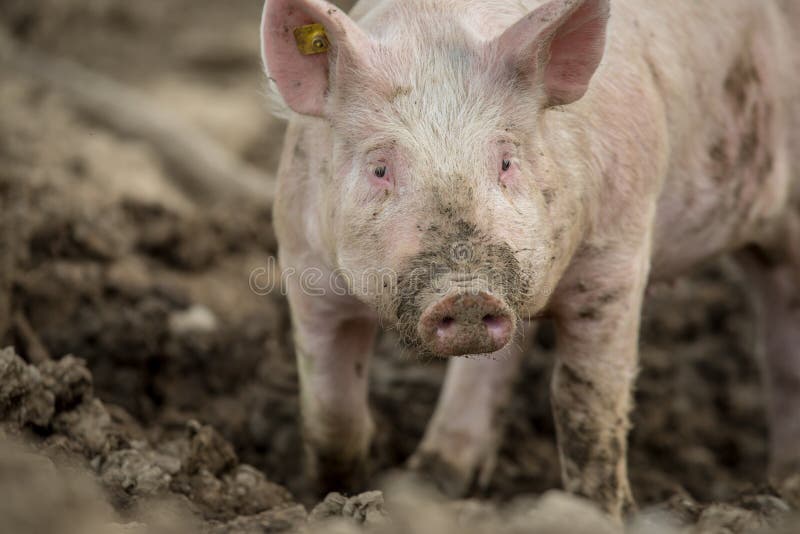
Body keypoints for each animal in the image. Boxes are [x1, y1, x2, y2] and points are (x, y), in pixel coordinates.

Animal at [260, 0, 800, 518]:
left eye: (506, 161)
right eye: (379, 168)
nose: (467, 294)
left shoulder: (617, 259)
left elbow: (586, 404)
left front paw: (601, 513)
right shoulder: (305, 265)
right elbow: (330, 408)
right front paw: (339, 497)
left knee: (779, 351)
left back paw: (783, 485)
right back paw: (434, 477)